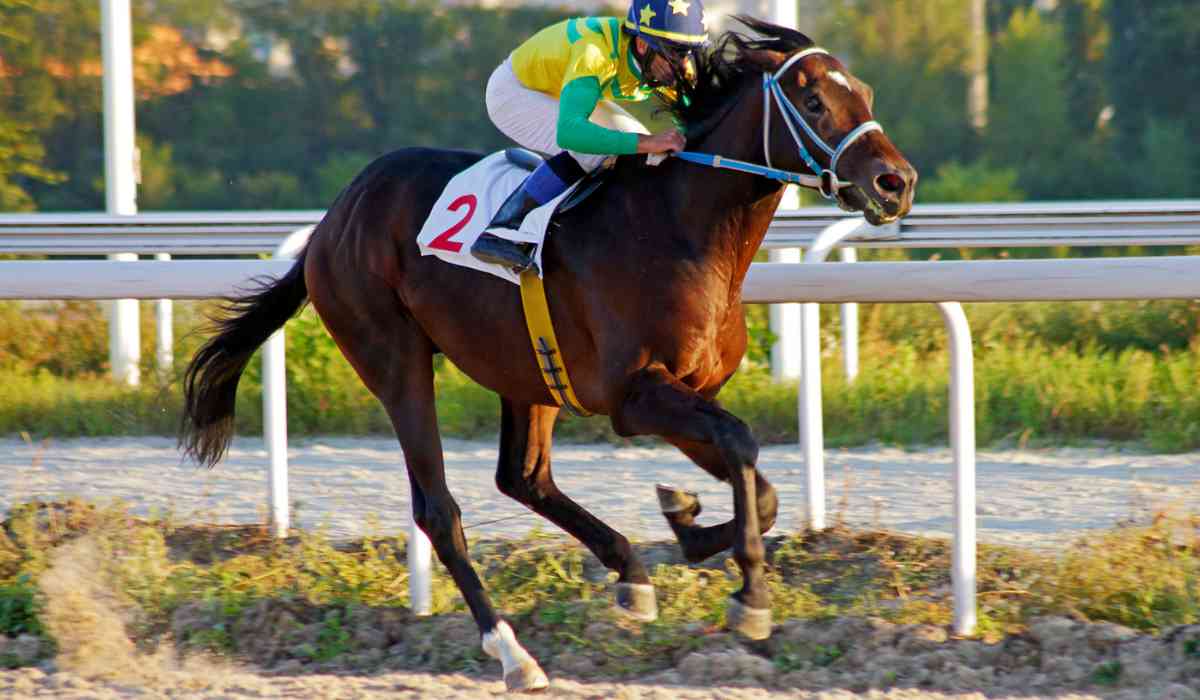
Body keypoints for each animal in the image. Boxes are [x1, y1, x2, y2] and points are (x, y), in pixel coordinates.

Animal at [180, 16, 915, 692]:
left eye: (866, 92)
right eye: (813, 100)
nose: (895, 183)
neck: (680, 229)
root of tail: (333, 218)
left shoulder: (687, 391)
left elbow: (758, 484)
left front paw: (687, 522)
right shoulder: (634, 395)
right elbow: (741, 446)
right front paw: (750, 596)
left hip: (527, 372)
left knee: (524, 478)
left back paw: (629, 573)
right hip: (393, 356)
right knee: (439, 510)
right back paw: (513, 653)